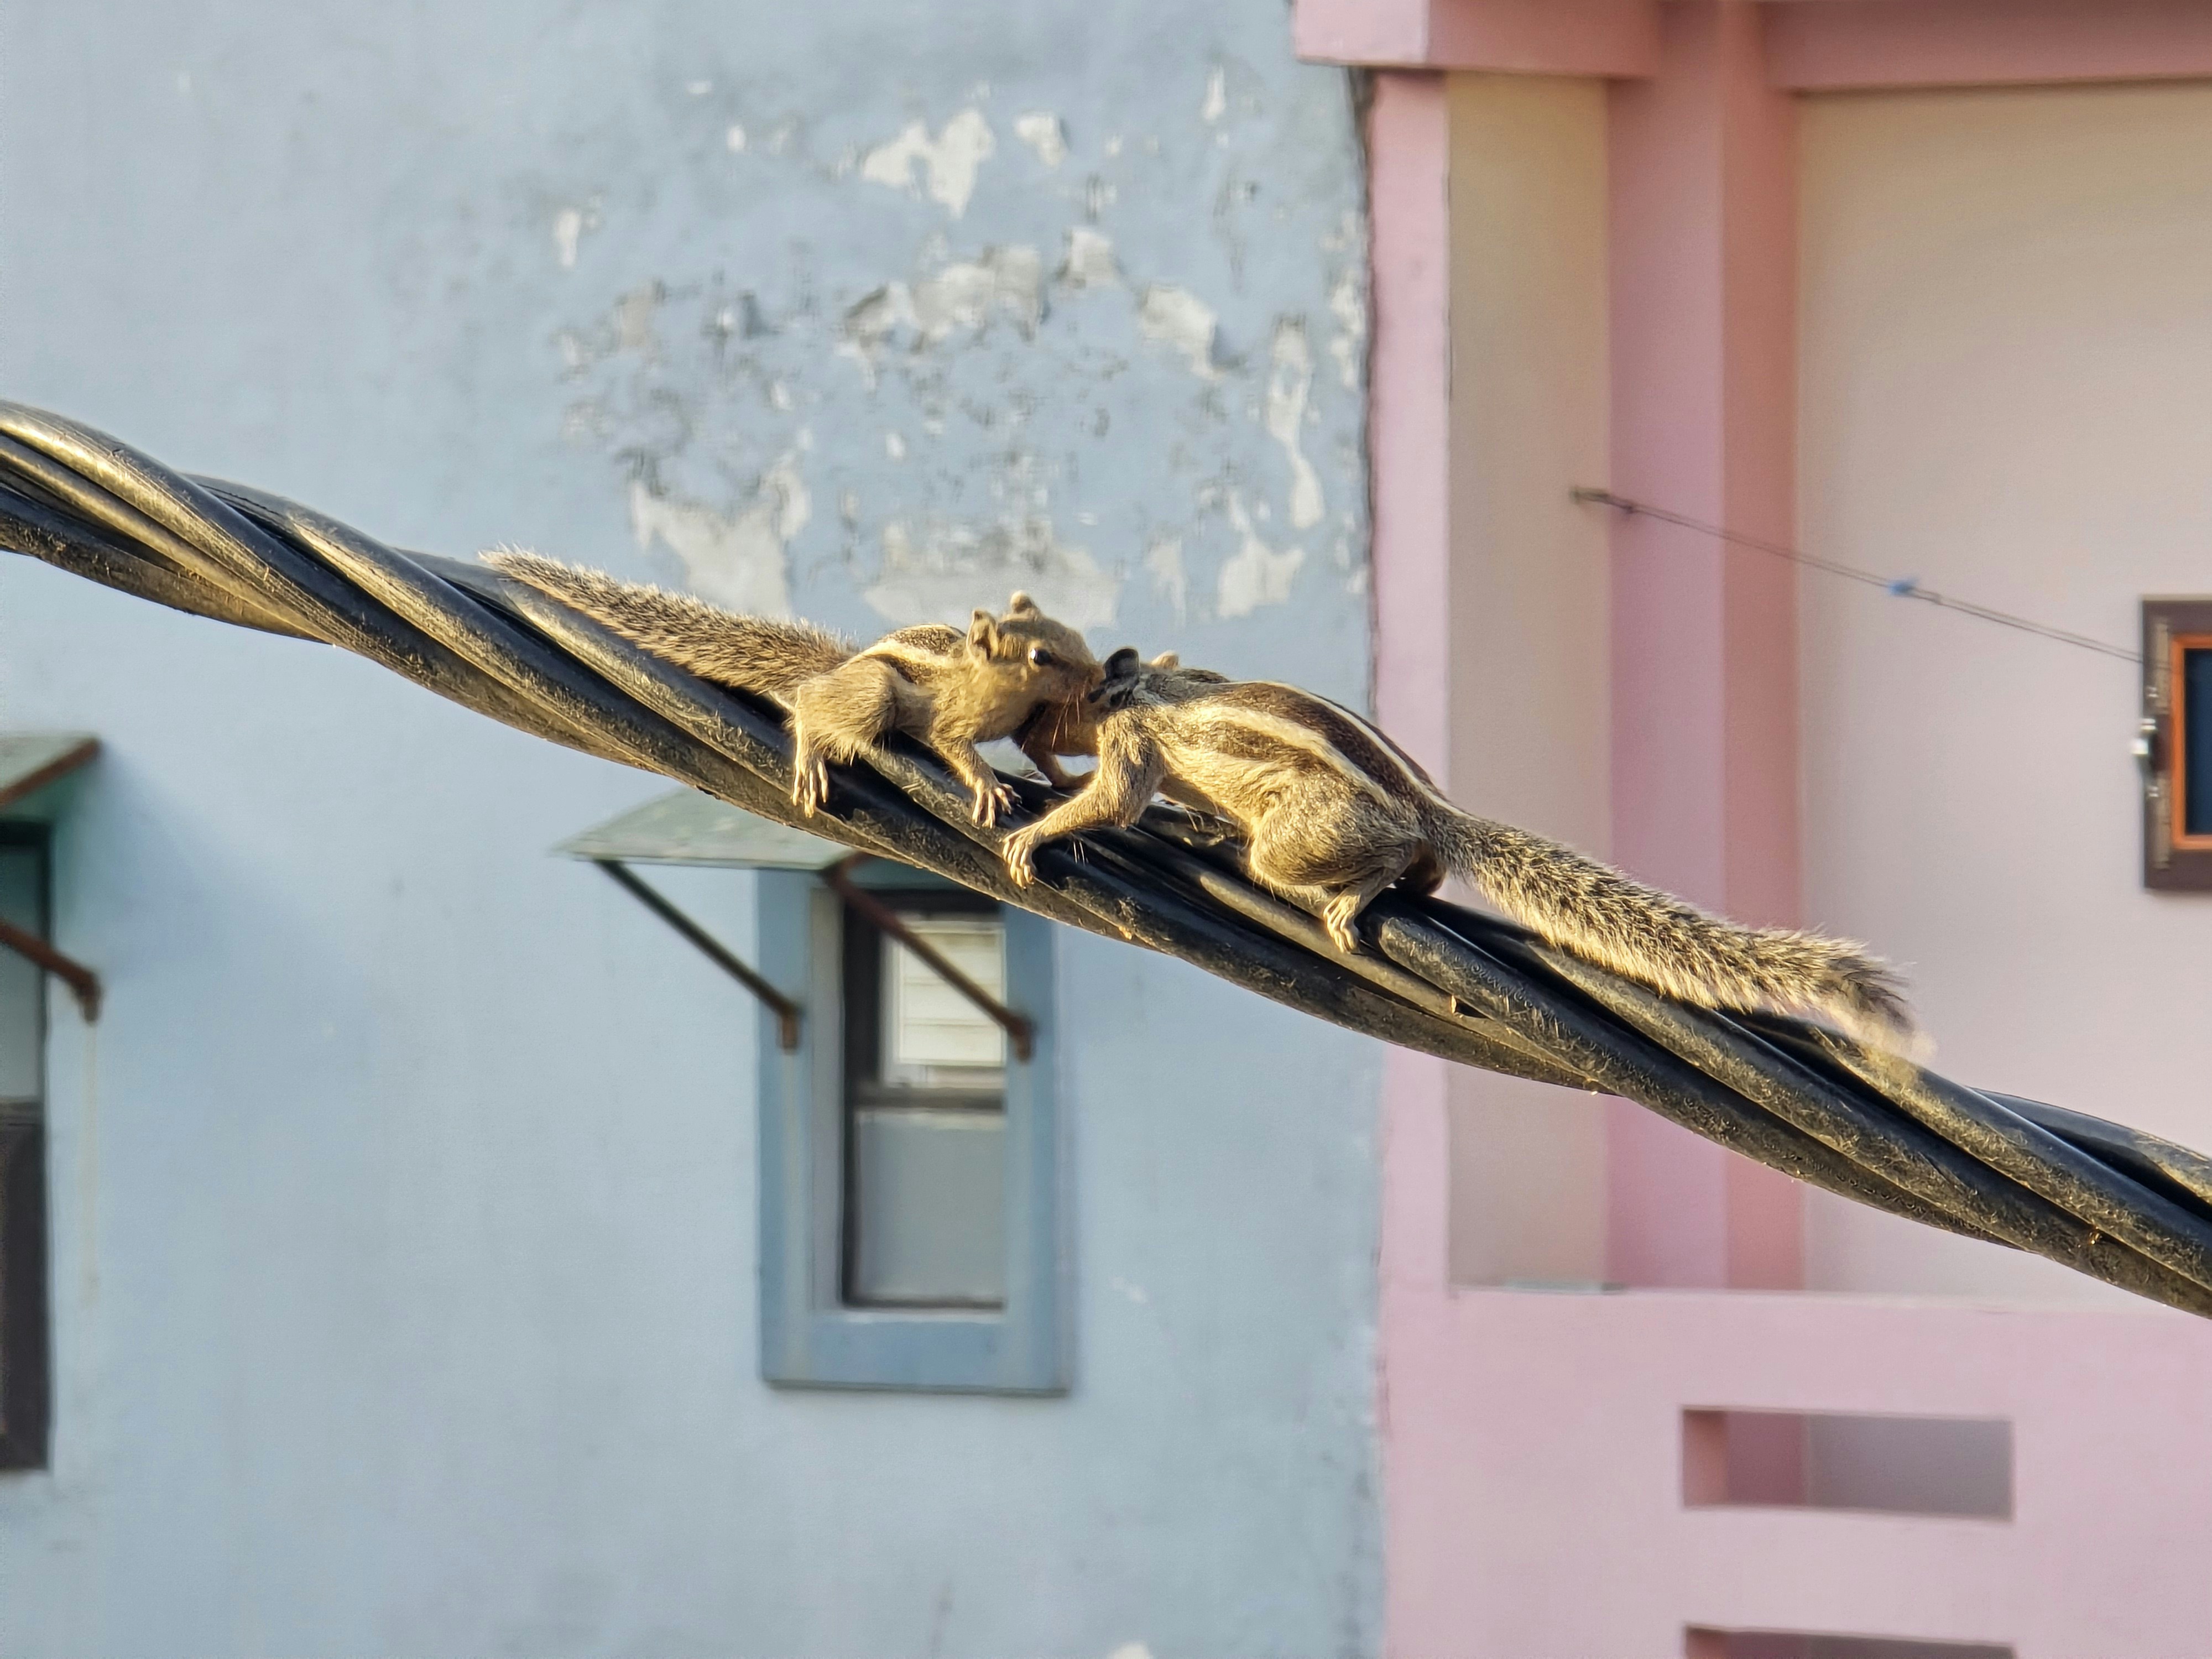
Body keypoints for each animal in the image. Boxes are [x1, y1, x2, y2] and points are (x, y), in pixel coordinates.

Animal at [482, 550, 1101, 825]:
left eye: (1071, 632)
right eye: (1041, 656)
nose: (1096, 677)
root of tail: (839, 668)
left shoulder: (1022, 721)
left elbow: (1037, 752)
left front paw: (1068, 779)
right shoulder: (951, 721)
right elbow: (958, 749)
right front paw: (989, 787)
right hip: (874, 693)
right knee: (808, 704)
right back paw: (809, 754)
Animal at [1002, 648, 1916, 1049]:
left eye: (1070, 689)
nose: (1033, 724)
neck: (1151, 685)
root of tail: (1430, 809)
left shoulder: (1132, 744)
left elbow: (1115, 799)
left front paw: (1037, 830)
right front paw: (1204, 819)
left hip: (1309, 834)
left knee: (1355, 856)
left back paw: (1354, 893)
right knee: (1424, 865)